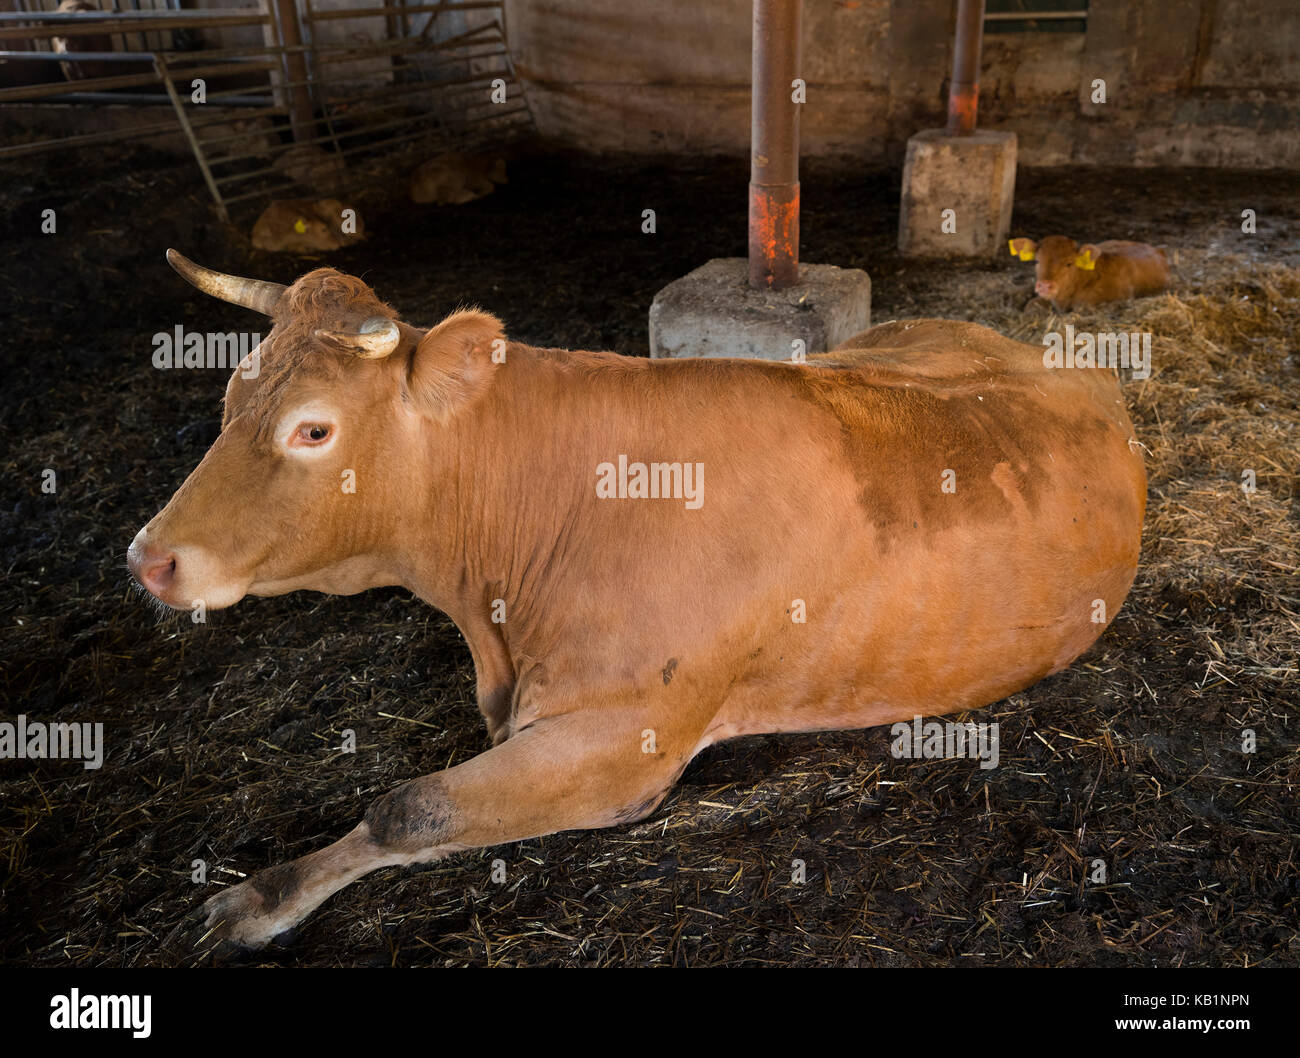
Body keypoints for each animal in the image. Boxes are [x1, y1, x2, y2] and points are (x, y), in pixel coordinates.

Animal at [130, 251, 1147, 952]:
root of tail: (1063, 358)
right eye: (227, 399)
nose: (148, 559)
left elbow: (409, 809)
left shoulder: (628, 741)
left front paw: (258, 900)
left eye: (314, 430)